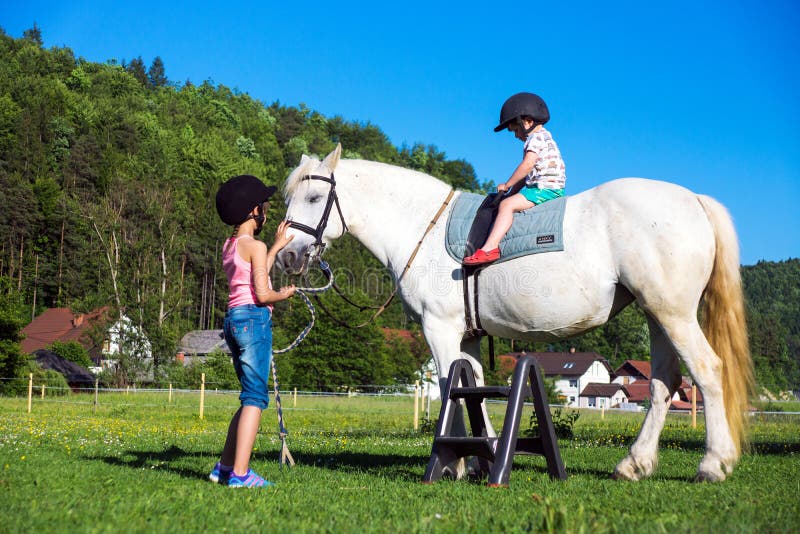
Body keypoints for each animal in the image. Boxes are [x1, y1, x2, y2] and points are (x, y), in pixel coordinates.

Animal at [276, 144, 754, 482]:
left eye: (315, 197)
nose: (287, 257)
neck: (421, 226)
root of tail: (693, 199)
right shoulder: (468, 336)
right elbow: (473, 390)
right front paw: (482, 460)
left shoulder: (439, 329)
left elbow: (451, 388)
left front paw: (457, 465)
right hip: (657, 316)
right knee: (662, 385)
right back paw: (634, 464)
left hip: (674, 314)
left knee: (708, 372)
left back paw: (713, 464)